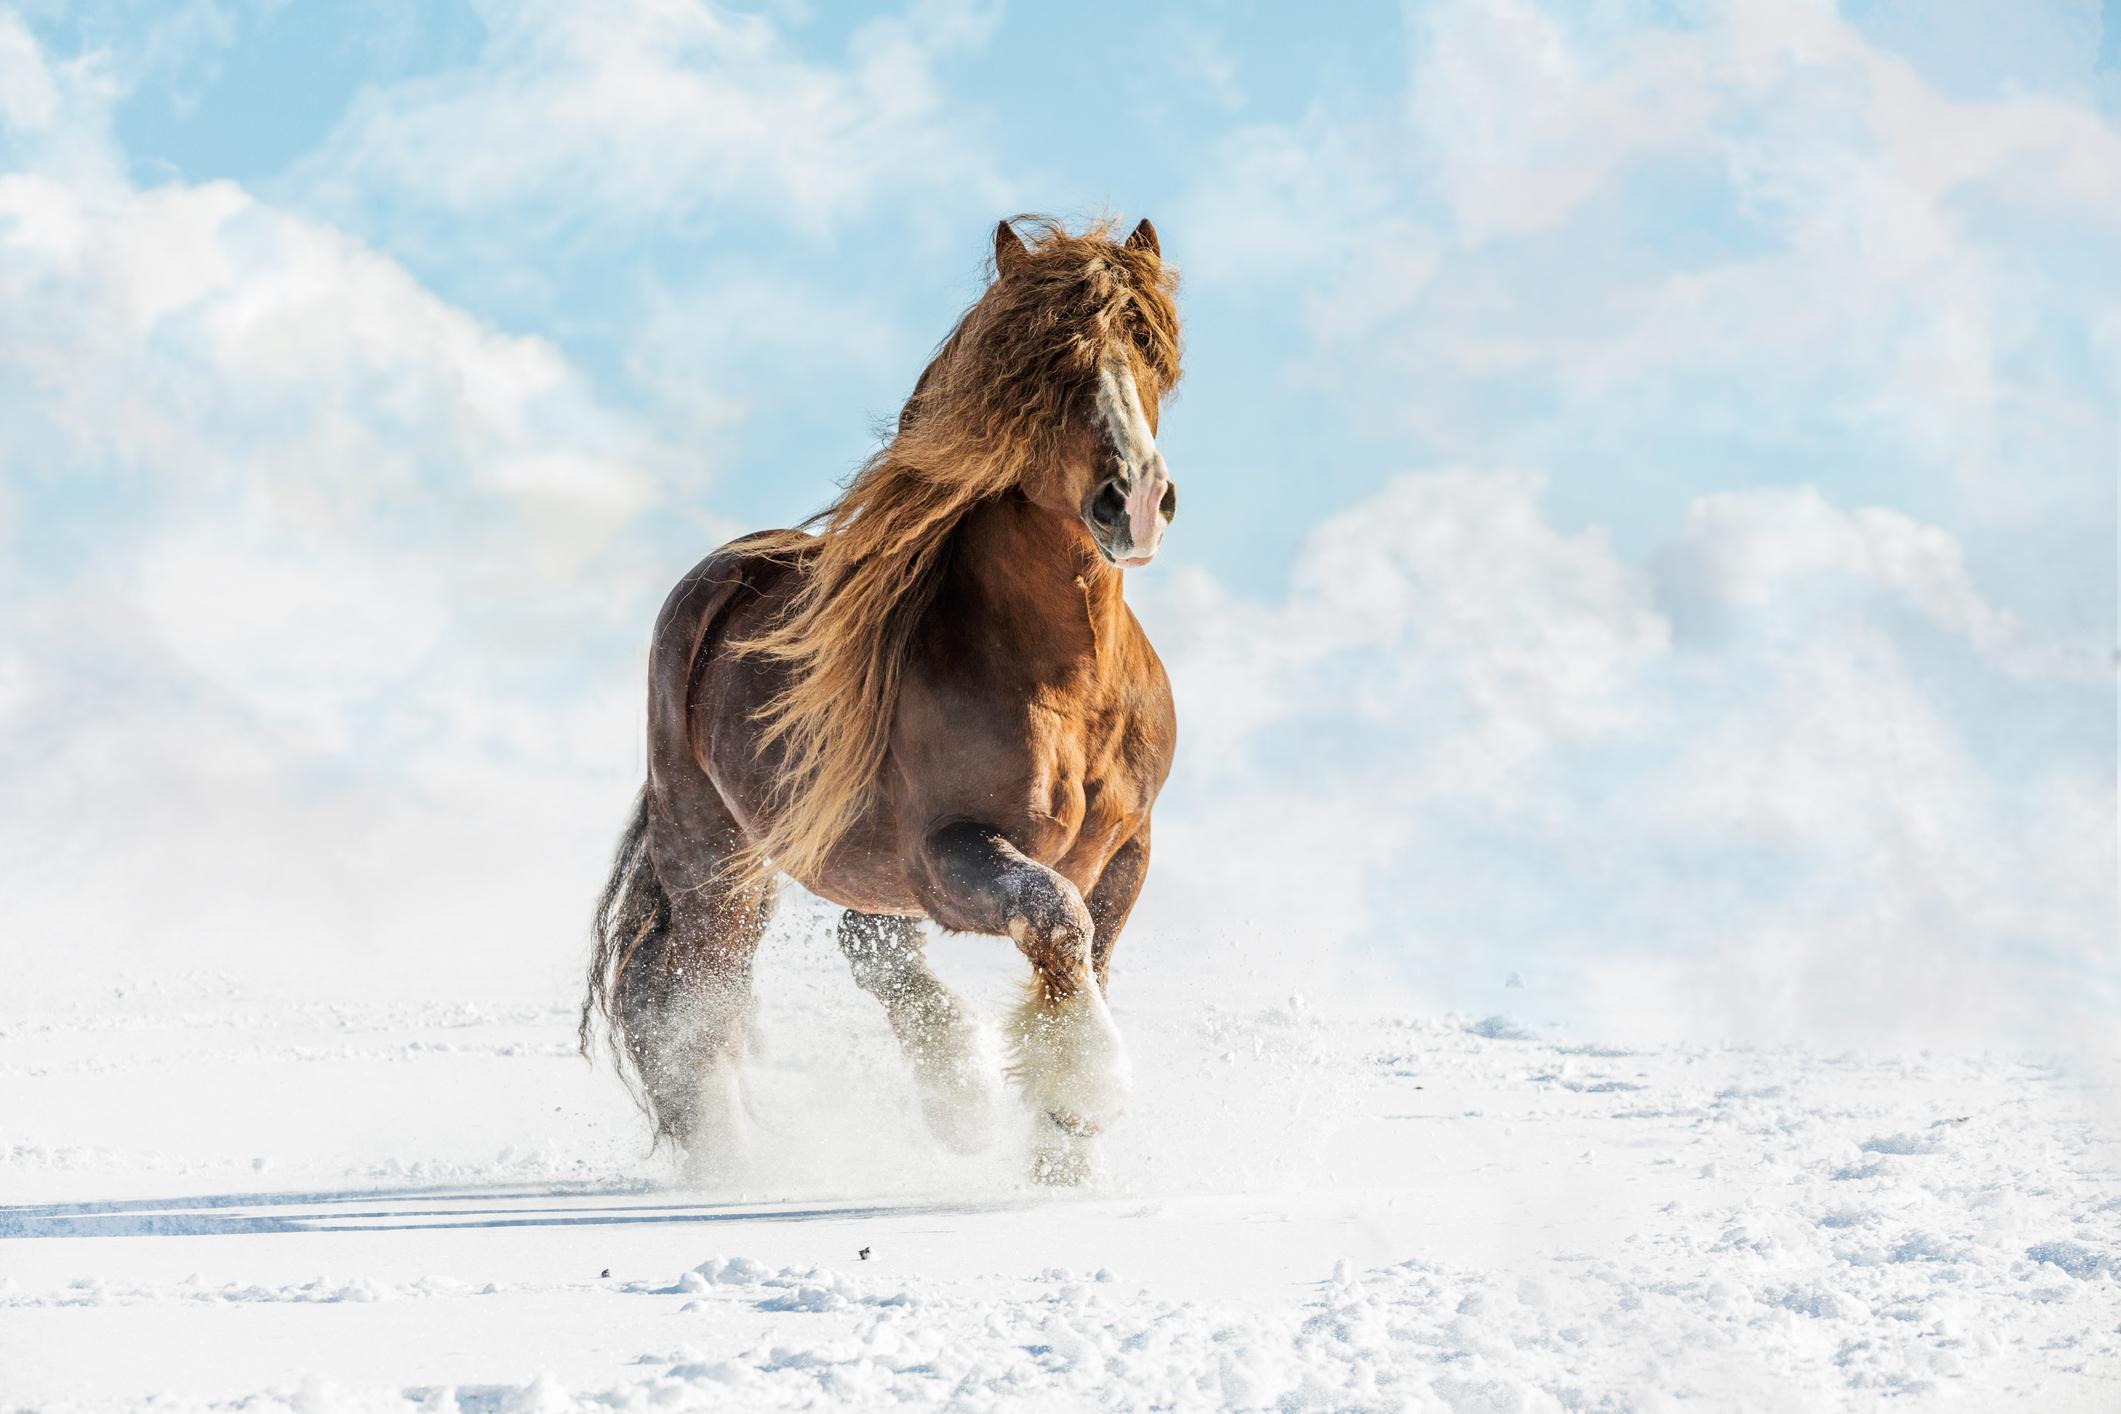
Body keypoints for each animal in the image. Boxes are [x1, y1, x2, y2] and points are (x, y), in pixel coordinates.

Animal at [580, 215, 1182, 1185]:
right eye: (1042, 364)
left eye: (1149, 353)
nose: (1133, 501)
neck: (1066, 685)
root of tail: (717, 578)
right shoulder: (948, 850)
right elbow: (1057, 920)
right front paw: (1083, 1097)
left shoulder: (1127, 851)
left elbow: (1086, 954)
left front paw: (1061, 1158)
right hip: (717, 857)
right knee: (699, 1011)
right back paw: (734, 1170)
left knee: (867, 948)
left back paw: (955, 1105)